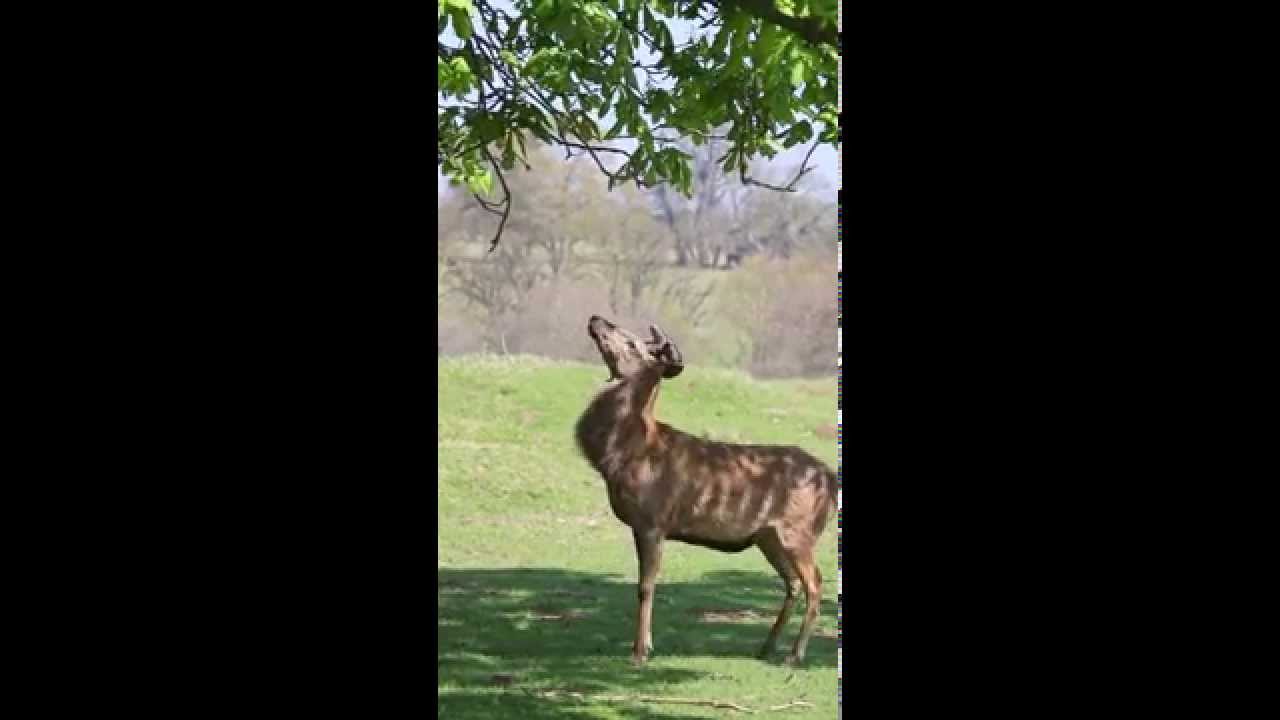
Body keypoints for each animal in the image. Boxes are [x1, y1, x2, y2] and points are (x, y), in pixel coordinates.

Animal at [575, 315, 837, 667]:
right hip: (768, 537)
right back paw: (766, 647)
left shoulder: (652, 521)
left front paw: (640, 651)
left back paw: (794, 655)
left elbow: (646, 586)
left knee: (816, 583)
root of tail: (832, 482)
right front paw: (646, 645)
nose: (597, 319)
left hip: (799, 531)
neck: (622, 454)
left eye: (632, 343)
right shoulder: (643, 525)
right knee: (793, 582)